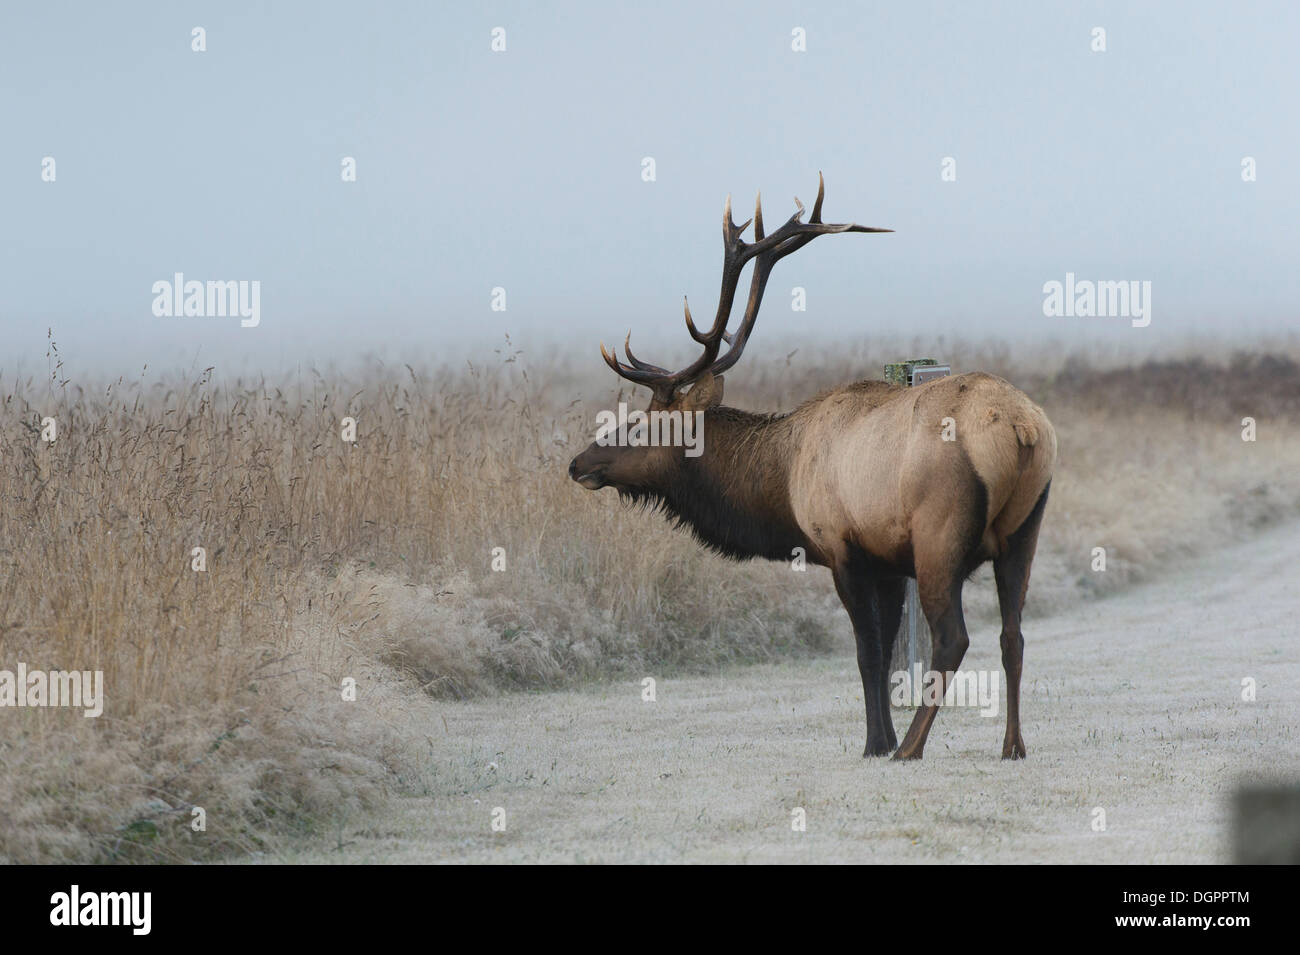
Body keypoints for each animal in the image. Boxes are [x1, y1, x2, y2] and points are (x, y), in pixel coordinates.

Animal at [568, 174, 1056, 761]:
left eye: (641, 426)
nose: (578, 462)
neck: (780, 485)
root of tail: (1024, 429)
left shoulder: (842, 547)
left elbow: (869, 654)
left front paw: (875, 743)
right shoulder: (887, 560)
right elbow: (886, 653)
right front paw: (879, 736)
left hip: (941, 534)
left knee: (953, 638)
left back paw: (911, 747)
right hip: (1025, 529)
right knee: (1013, 635)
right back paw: (1013, 745)